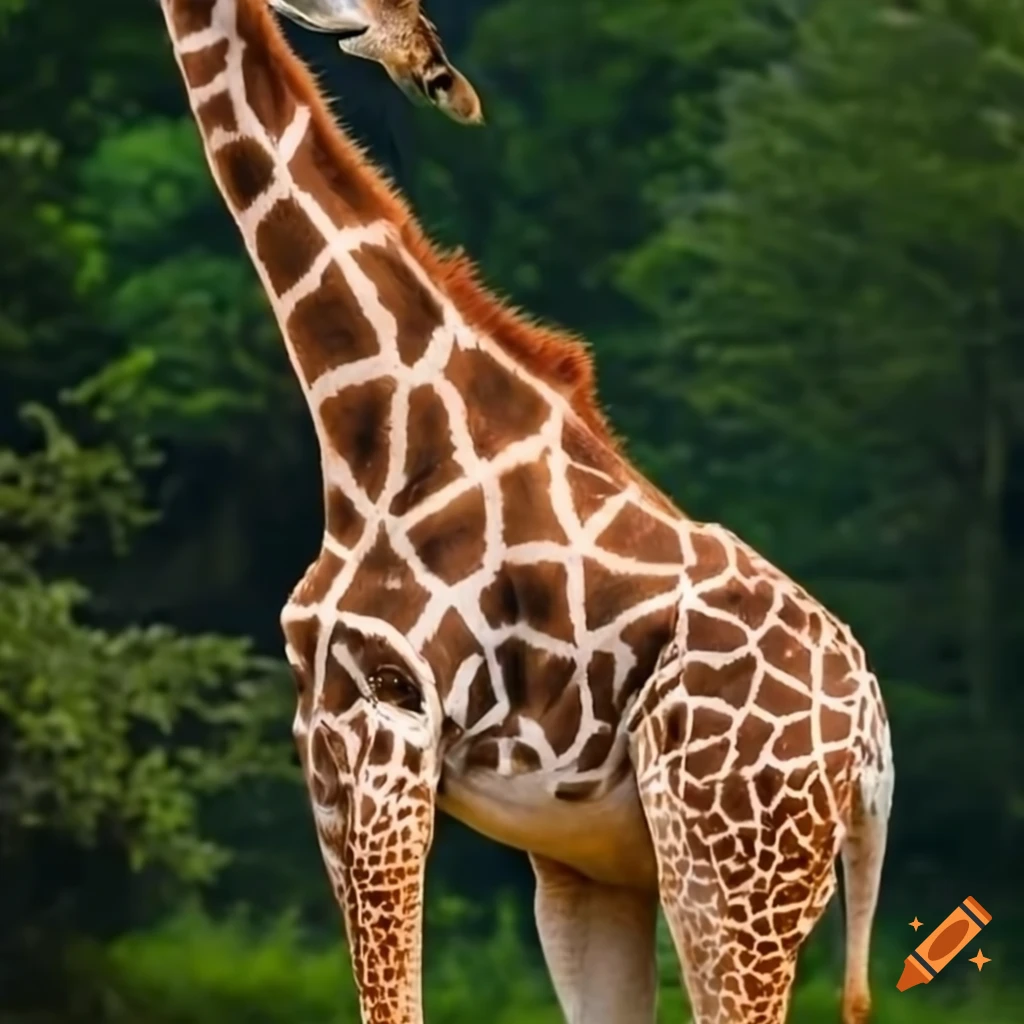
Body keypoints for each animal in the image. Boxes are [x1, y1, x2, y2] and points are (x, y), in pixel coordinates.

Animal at [156, 2, 895, 1023]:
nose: (444, 84)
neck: (373, 431)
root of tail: (871, 749)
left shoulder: (382, 726)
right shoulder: (329, 749)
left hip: (730, 865)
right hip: (612, 872)